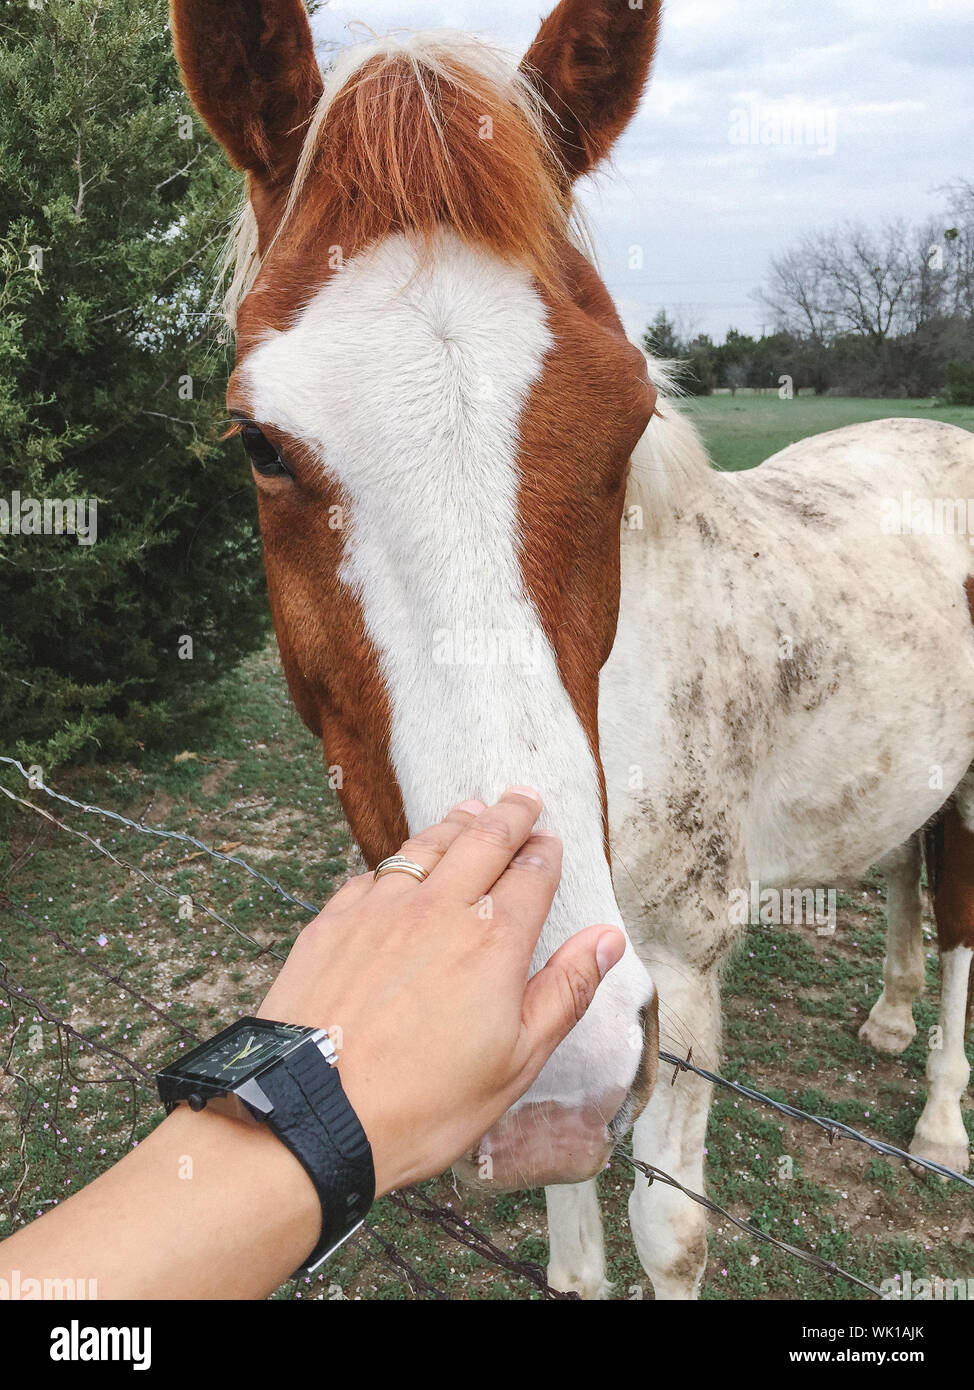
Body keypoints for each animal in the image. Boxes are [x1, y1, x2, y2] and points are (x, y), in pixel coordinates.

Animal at [171, 0, 974, 1299]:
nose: (550, 1051)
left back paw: (940, 1119)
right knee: (905, 877)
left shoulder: (679, 983)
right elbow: (572, 1243)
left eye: (629, 411)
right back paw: (891, 1017)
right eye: (258, 443)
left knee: (956, 923)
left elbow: (669, 1233)